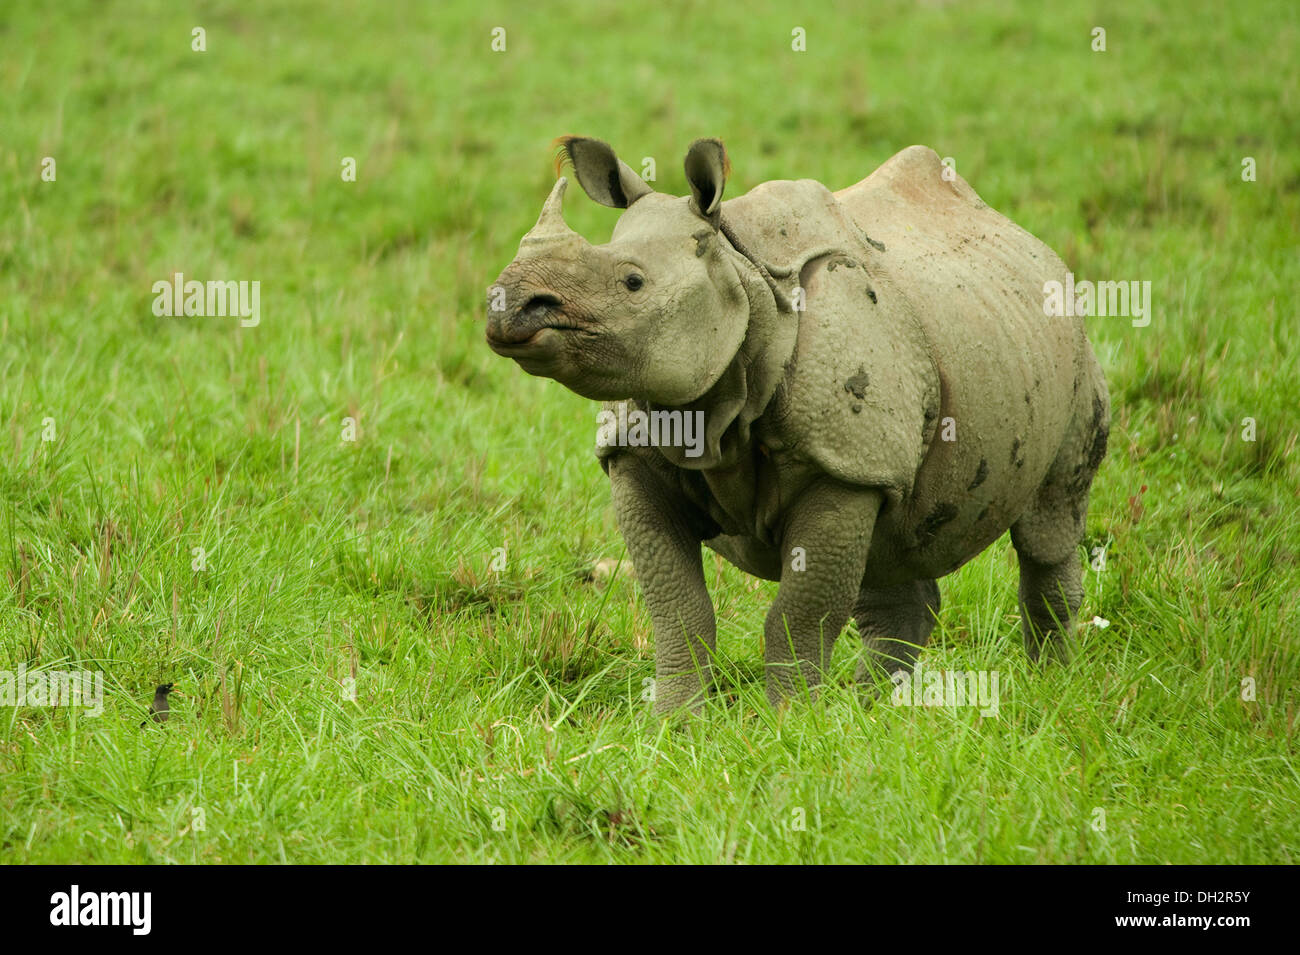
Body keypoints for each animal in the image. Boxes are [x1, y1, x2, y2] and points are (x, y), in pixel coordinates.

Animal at [487, 136, 1109, 715]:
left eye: (633, 283)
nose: (508, 306)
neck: (743, 283)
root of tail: (1026, 239)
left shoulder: (843, 463)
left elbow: (800, 613)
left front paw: (790, 722)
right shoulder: (636, 452)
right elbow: (678, 609)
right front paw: (672, 725)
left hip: (1068, 340)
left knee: (1049, 523)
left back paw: (1048, 687)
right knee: (890, 546)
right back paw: (873, 708)